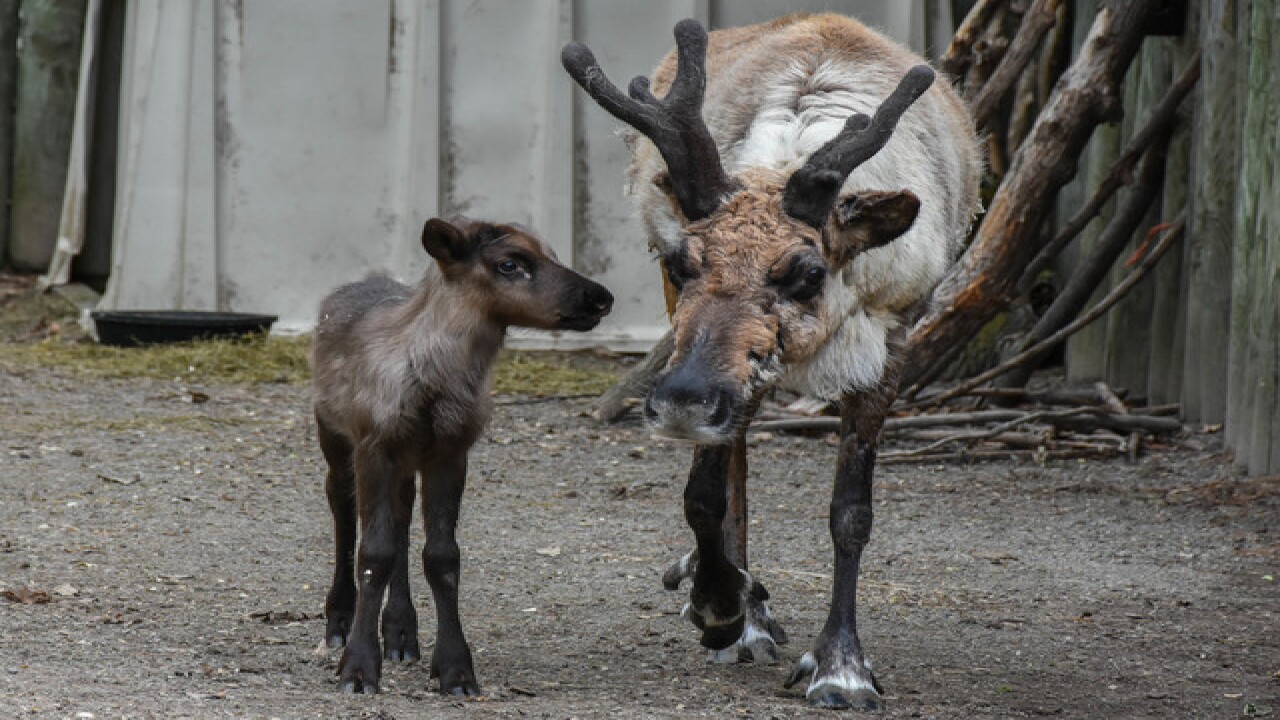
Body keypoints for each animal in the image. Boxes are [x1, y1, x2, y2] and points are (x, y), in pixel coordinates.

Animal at [310, 216, 613, 695]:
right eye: (509, 263)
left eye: (552, 254)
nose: (600, 296)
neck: (434, 386)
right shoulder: (374, 444)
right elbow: (372, 555)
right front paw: (357, 669)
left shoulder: (450, 452)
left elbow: (441, 556)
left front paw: (455, 670)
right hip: (334, 436)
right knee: (342, 511)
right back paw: (339, 621)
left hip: (406, 460)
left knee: (401, 520)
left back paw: (401, 634)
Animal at [562, 13, 981, 710]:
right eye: (681, 261)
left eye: (808, 273)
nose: (681, 403)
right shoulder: (721, 369)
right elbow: (706, 495)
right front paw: (720, 604)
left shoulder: (888, 348)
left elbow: (851, 514)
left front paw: (841, 668)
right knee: (733, 477)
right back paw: (743, 612)